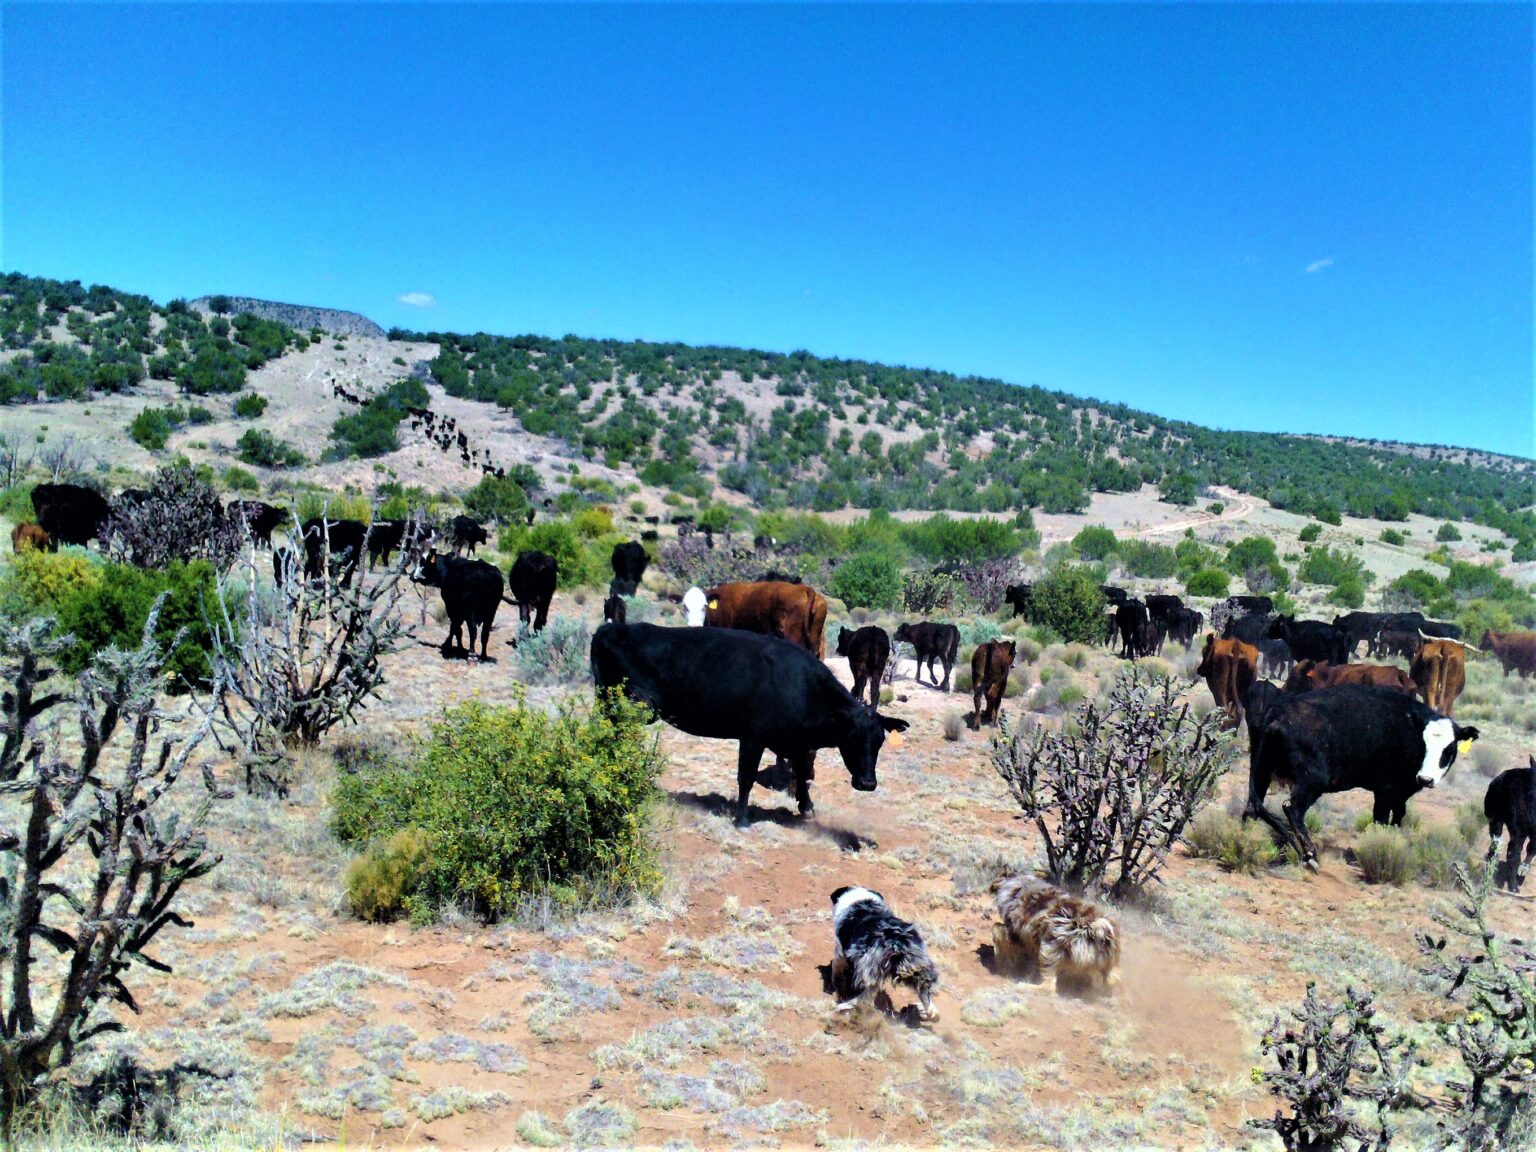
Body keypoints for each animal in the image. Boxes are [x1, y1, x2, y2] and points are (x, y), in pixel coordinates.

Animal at [590, 623, 909, 828]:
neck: (800, 685)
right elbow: (746, 777)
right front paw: (742, 819)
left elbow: (801, 774)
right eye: (852, 737)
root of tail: (608, 629)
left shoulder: (795, 742)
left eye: (880, 741)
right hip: (620, 703)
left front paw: (806, 807)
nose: (867, 783)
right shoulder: (753, 737)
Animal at [1245, 685, 1479, 870]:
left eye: (1449, 749)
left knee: (1251, 807)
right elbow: (1380, 819)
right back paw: (1310, 854)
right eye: (1424, 744)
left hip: (1261, 772)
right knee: (1292, 809)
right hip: (1312, 781)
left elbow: (1398, 816)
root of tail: (1275, 713)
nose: (1425, 779)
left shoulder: (1400, 792)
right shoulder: (1385, 790)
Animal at [1485, 758, 1536, 893]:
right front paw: (1522, 872)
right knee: (1514, 852)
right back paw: (1513, 886)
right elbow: (1531, 849)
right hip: (1519, 828)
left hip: (1495, 819)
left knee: (1495, 846)